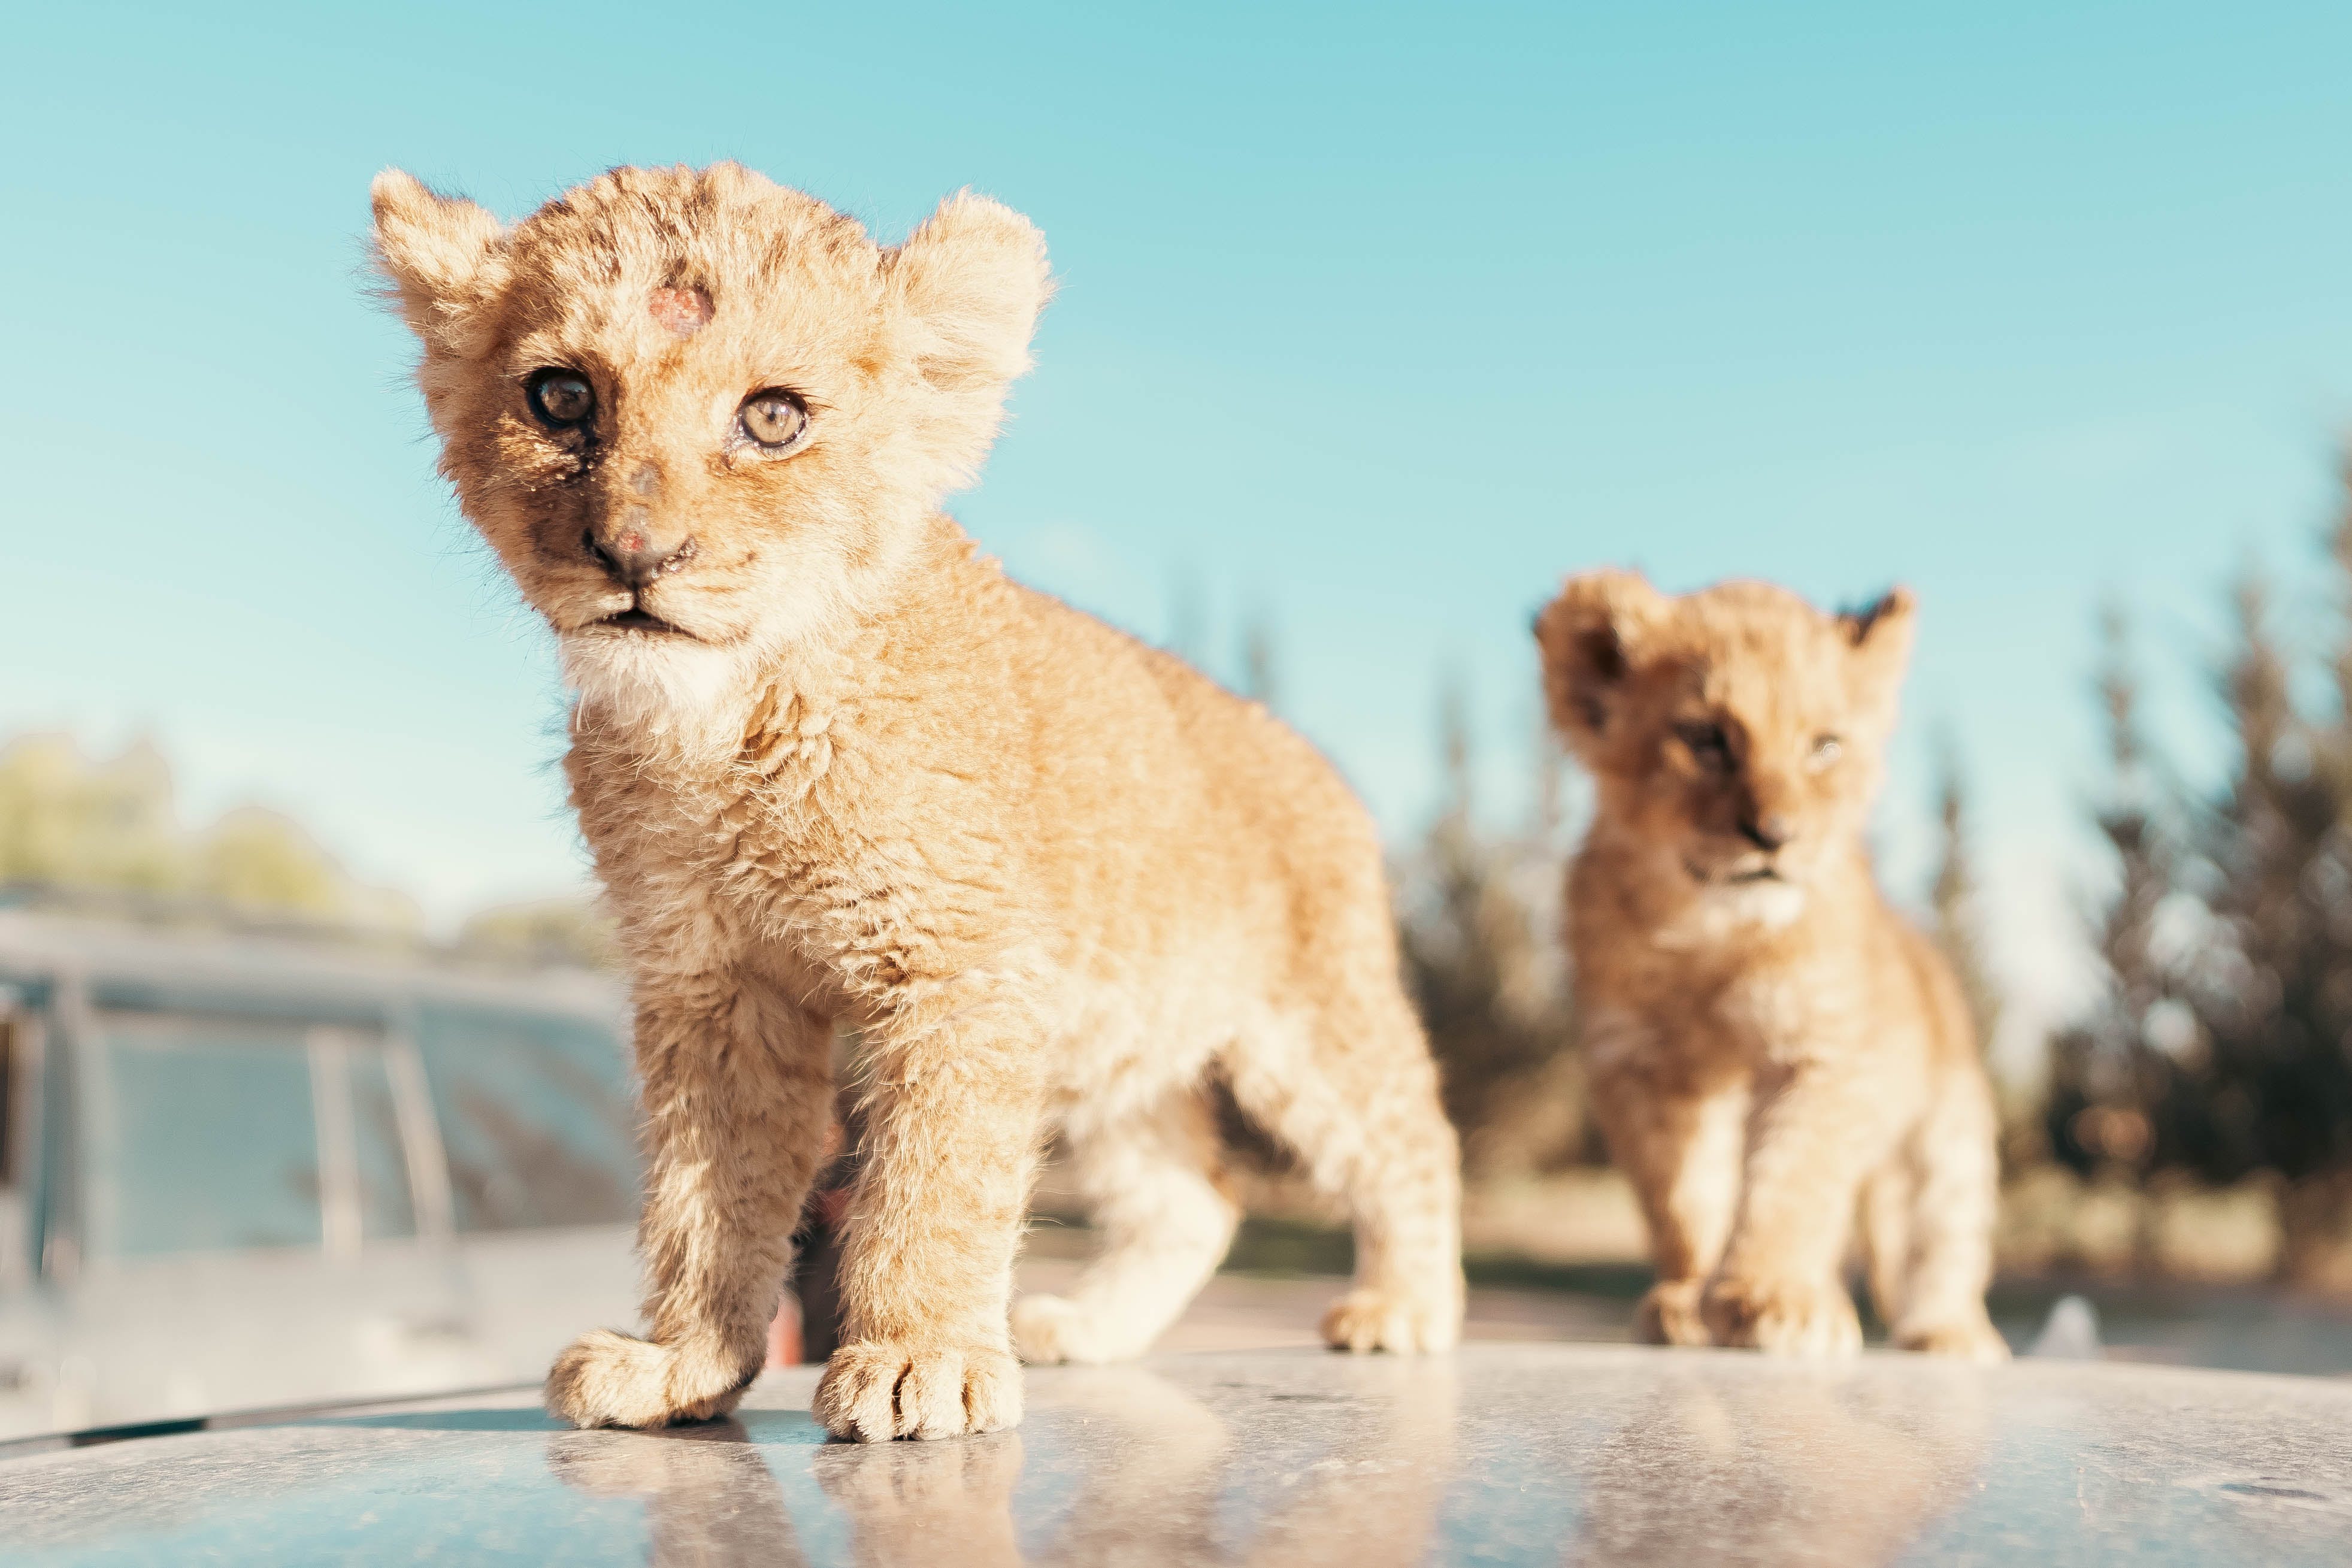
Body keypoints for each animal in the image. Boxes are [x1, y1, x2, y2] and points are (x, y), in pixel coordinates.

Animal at [370, 162, 1463, 1442]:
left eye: (774, 417)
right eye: (560, 396)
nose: (635, 554)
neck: (723, 722)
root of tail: (1310, 754)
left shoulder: (962, 962)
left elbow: (935, 1175)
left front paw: (918, 1362)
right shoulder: (713, 981)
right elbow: (707, 1190)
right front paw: (680, 1365)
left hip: (1309, 1018)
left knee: (1410, 1136)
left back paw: (1402, 1307)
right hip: (1117, 1039)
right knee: (1193, 1195)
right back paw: (1087, 1328)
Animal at [1535, 570, 2006, 1361]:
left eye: (1824, 746)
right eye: (1707, 739)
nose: (1776, 835)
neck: (1710, 933)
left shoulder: (1819, 1054)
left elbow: (1790, 1181)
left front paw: (1770, 1298)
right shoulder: (1638, 1068)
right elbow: (1683, 1198)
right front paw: (1686, 1301)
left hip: (1943, 1142)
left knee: (1940, 1242)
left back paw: (1948, 1331)